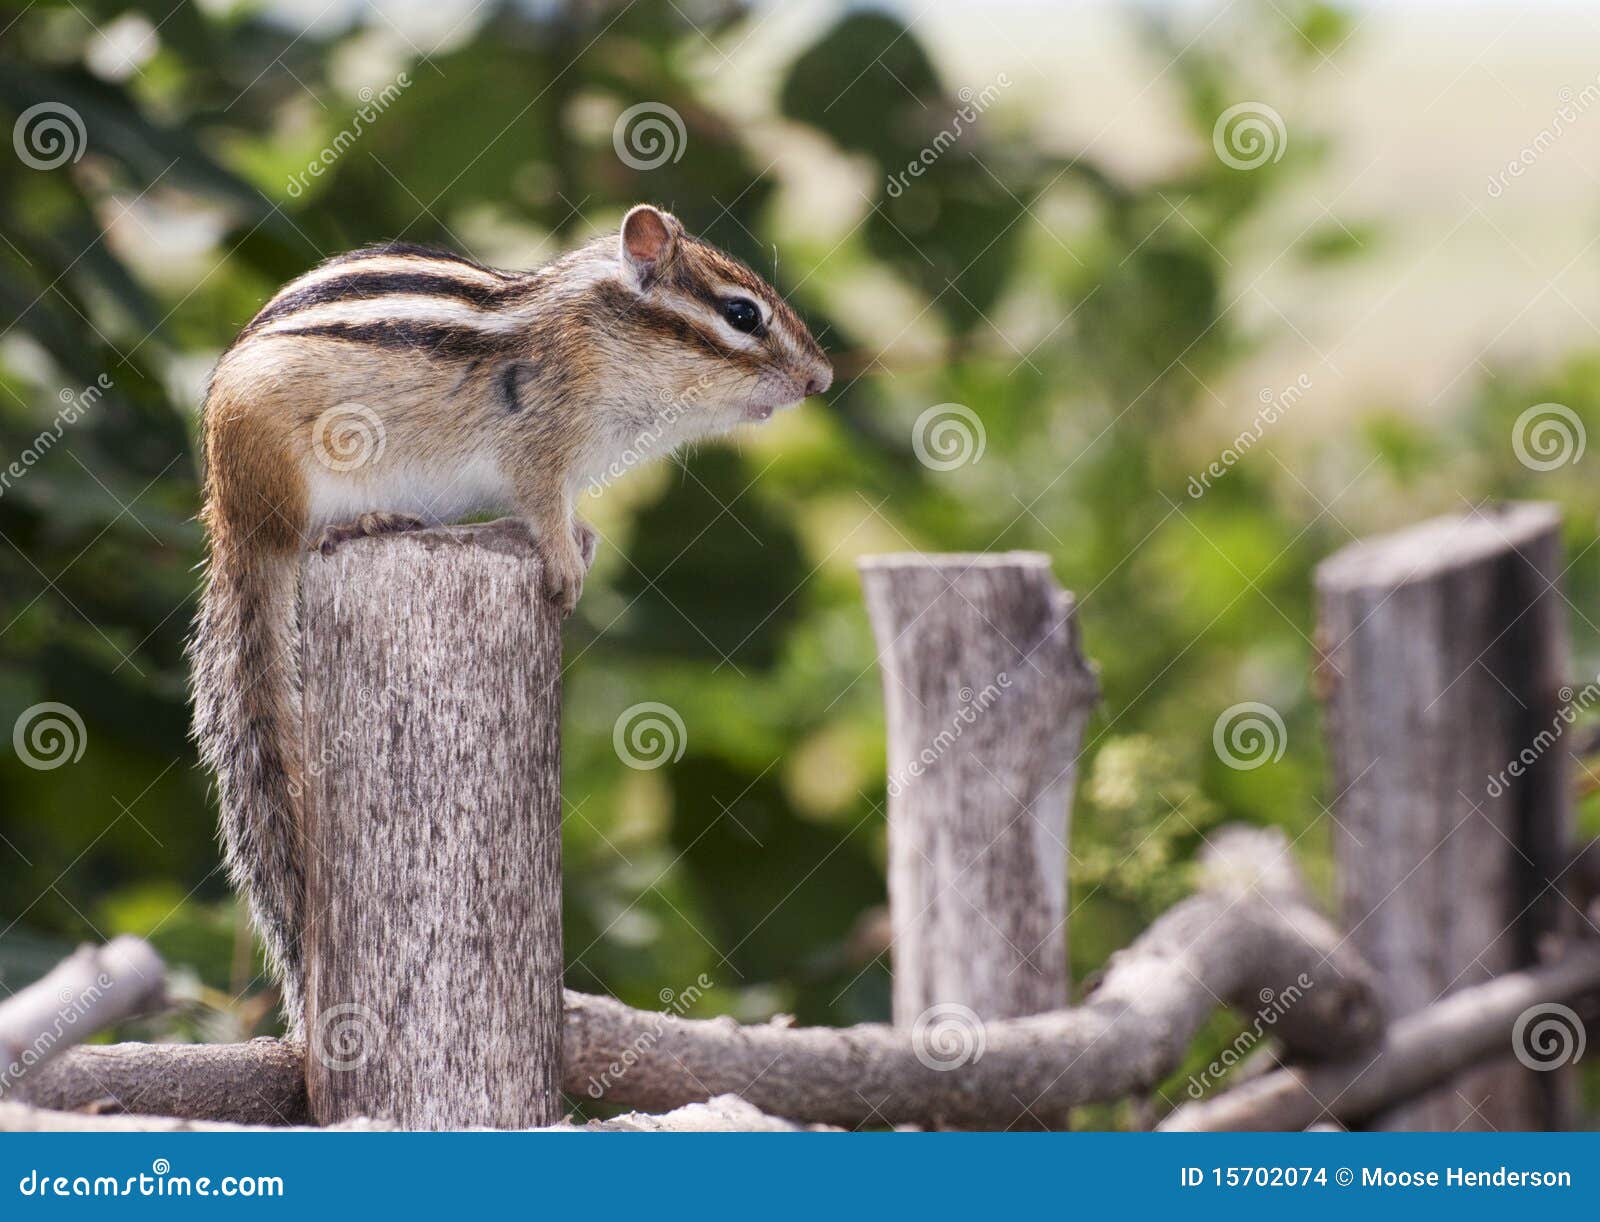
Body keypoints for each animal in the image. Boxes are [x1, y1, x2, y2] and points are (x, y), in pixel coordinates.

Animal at [188, 204, 832, 1035]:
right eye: (742, 314)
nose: (821, 380)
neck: (600, 338)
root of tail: (227, 517)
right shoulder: (539, 452)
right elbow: (540, 508)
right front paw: (563, 561)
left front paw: (584, 540)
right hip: (290, 479)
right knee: (300, 536)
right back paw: (369, 520)